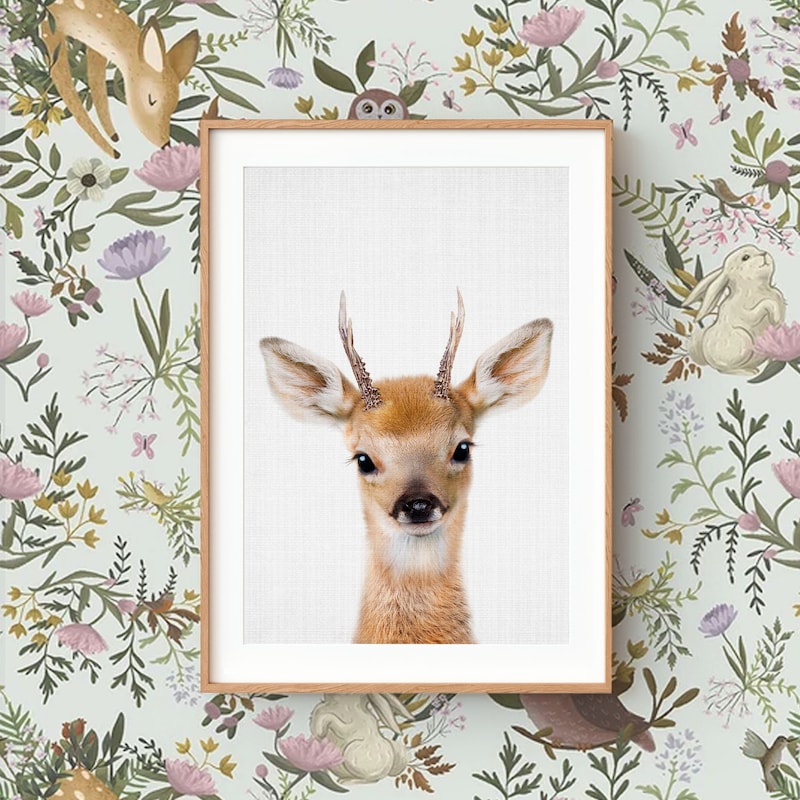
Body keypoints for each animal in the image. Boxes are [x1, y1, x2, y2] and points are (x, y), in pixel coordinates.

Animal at [40, 1, 199, 158]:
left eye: (173, 106)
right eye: (151, 99)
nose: (165, 144)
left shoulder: (96, 51)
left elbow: (97, 83)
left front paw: (113, 137)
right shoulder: (49, 26)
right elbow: (68, 91)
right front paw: (113, 152)